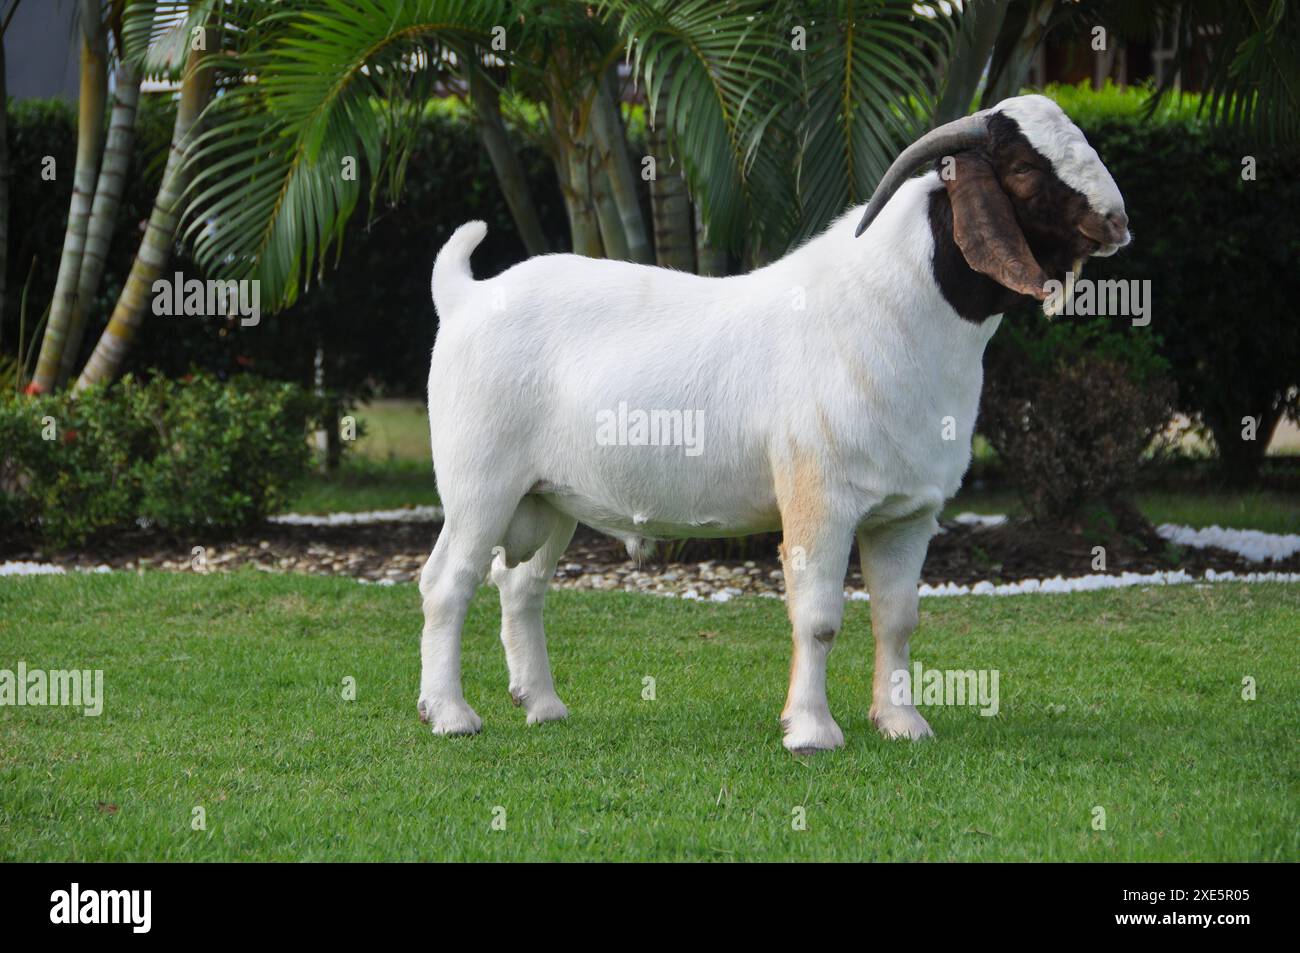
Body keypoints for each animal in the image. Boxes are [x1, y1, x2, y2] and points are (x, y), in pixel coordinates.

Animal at [418, 94, 1130, 753]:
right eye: (1022, 167)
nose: (1116, 222)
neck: (890, 311)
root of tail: (466, 296)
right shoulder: (821, 498)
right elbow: (818, 618)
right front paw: (811, 731)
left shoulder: (907, 513)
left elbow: (897, 619)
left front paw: (901, 722)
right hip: (480, 485)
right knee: (447, 584)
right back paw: (450, 714)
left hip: (550, 499)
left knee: (521, 587)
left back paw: (542, 705)